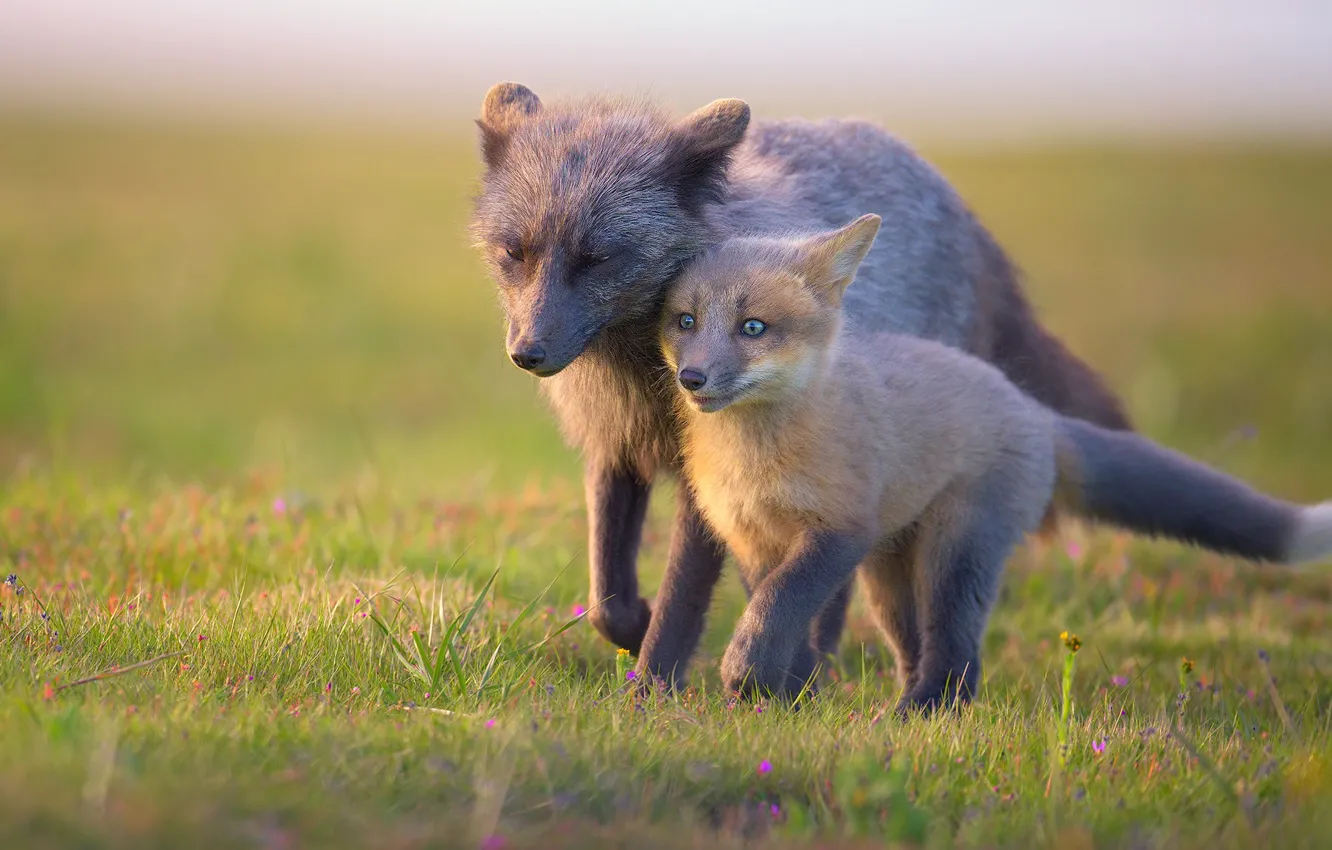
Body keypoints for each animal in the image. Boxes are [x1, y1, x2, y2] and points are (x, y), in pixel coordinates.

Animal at [470, 83, 1133, 687]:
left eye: (597, 258)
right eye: (515, 253)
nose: (526, 352)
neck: (641, 377)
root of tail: (959, 208)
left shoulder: (704, 475)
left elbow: (684, 596)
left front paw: (654, 687)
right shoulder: (616, 449)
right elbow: (607, 596)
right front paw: (637, 635)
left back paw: (812, 668)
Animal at [659, 214, 1332, 712]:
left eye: (753, 327)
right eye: (685, 321)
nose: (693, 378)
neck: (757, 461)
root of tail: (1029, 405)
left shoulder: (839, 531)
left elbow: (779, 606)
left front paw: (748, 674)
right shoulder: (752, 539)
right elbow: (777, 612)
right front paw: (784, 698)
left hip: (955, 555)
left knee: (958, 655)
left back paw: (923, 713)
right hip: (890, 576)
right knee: (917, 645)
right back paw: (905, 708)